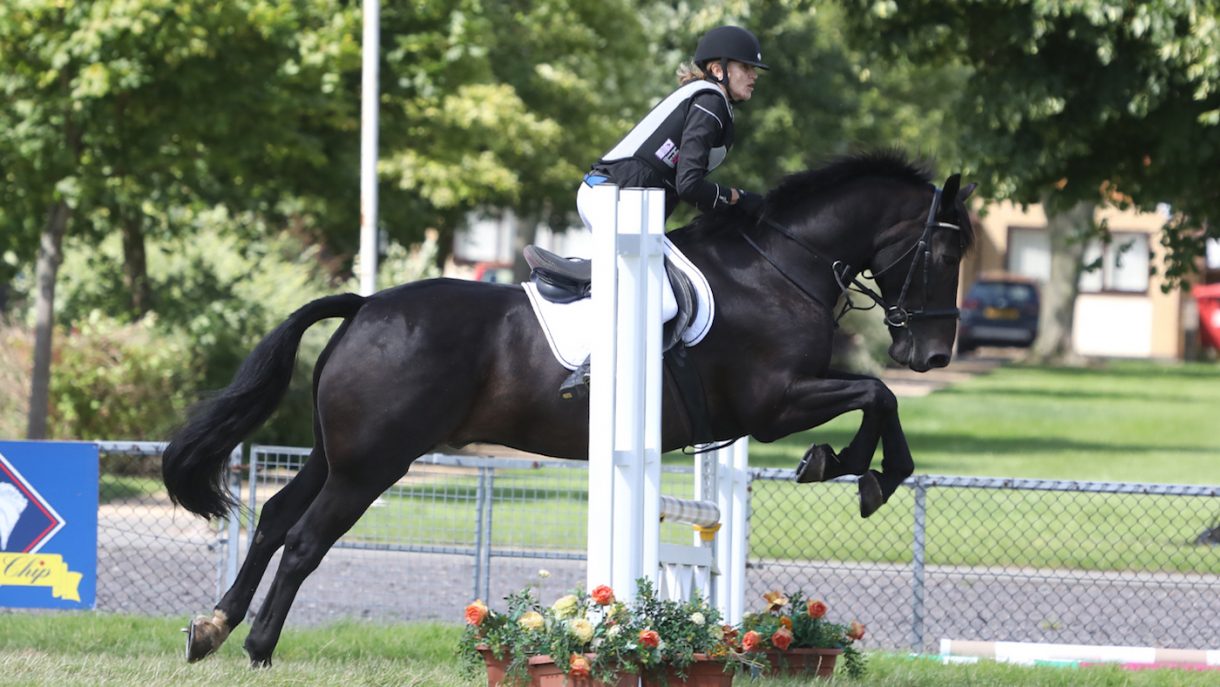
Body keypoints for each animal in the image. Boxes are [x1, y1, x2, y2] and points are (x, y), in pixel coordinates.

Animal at [162, 150, 976, 666]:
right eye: (945, 252)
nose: (935, 355)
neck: (781, 265)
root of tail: (365, 306)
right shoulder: (773, 405)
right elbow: (876, 396)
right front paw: (859, 471)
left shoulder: (774, 406)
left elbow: (875, 396)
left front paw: (849, 466)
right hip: (373, 464)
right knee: (304, 540)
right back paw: (258, 647)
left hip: (339, 455)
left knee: (274, 518)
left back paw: (212, 628)